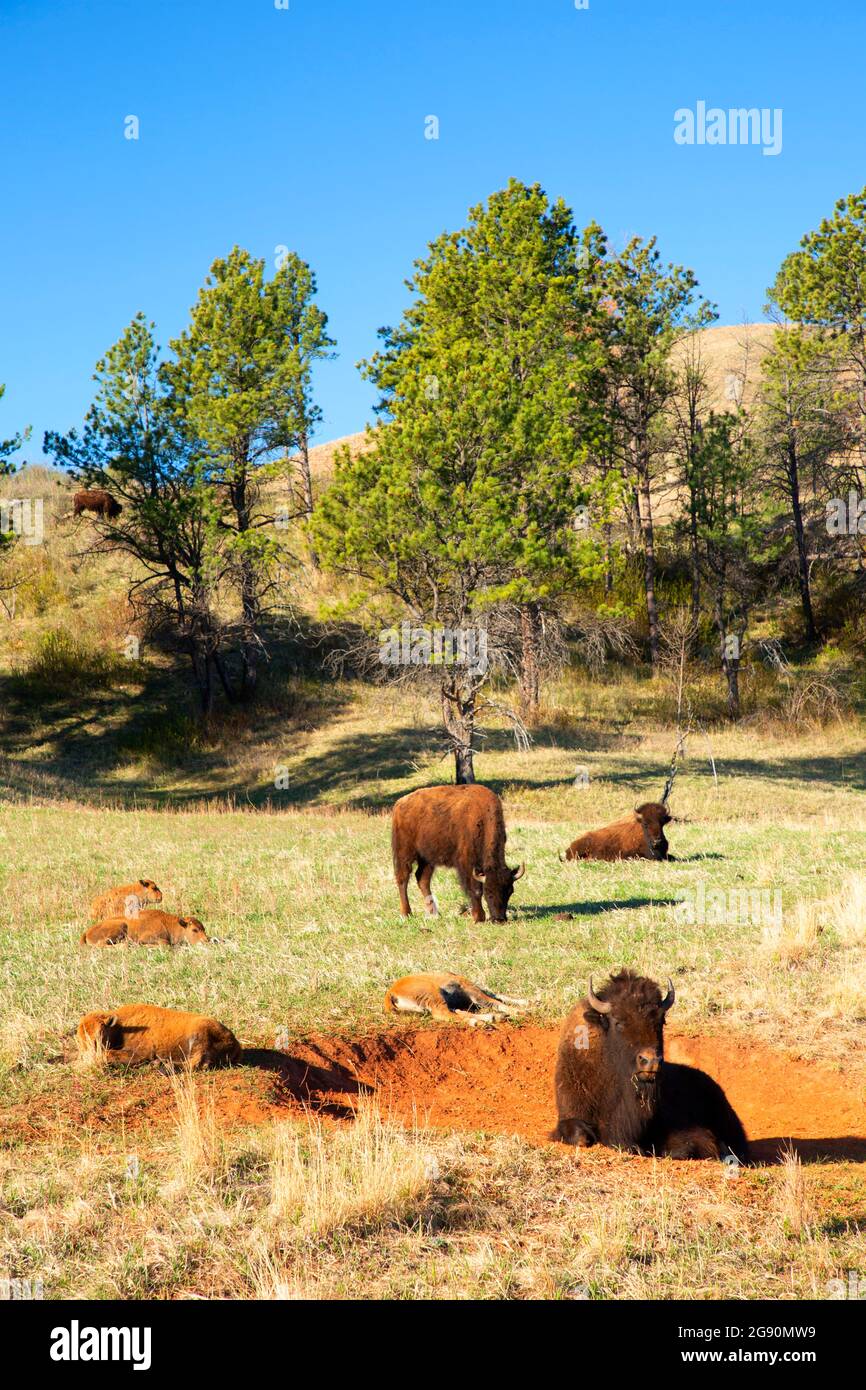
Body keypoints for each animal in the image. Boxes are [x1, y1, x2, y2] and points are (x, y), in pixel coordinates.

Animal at [391, 784, 524, 923]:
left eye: (510, 891)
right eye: (489, 891)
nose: (500, 919)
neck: (482, 816)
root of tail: (400, 803)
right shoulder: (466, 863)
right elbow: (475, 889)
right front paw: (479, 917)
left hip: (427, 859)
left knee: (422, 879)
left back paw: (434, 913)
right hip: (404, 852)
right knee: (403, 878)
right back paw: (406, 913)